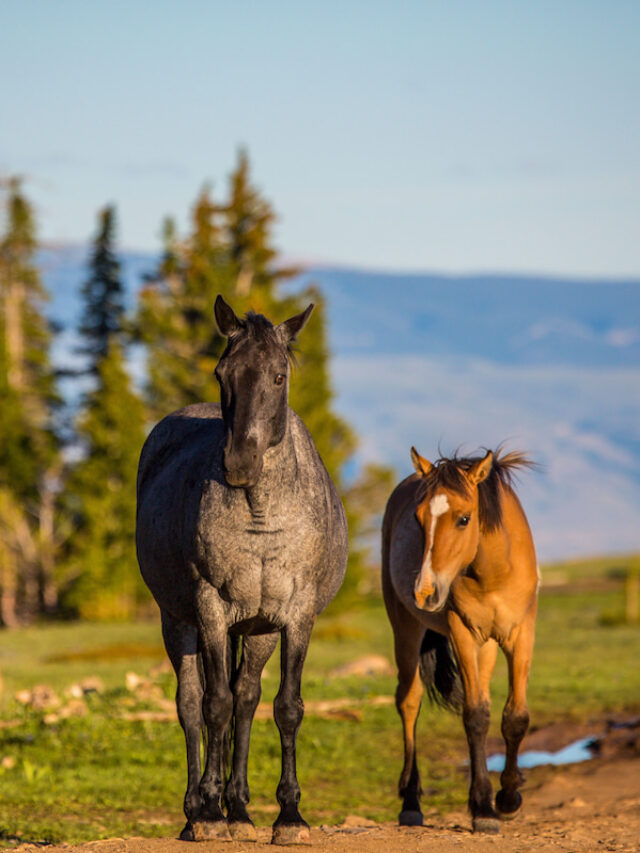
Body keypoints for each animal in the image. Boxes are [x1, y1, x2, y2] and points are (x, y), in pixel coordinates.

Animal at [136, 296, 348, 844]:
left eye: (278, 375)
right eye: (221, 373)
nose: (239, 464)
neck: (260, 513)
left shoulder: (295, 616)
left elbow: (285, 707)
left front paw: (289, 816)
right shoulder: (211, 609)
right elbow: (214, 705)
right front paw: (210, 814)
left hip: (256, 630)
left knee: (248, 698)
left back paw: (241, 810)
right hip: (177, 621)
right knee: (192, 703)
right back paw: (197, 810)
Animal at [381, 446, 538, 834]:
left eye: (464, 519)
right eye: (419, 519)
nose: (424, 592)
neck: (493, 573)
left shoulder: (521, 635)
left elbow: (514, 716)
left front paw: (508, 799)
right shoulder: (463, 633)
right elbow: (476, 716)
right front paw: (484, 808)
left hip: (488, 647)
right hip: (406, 630)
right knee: (409, 701)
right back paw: (410, 803)